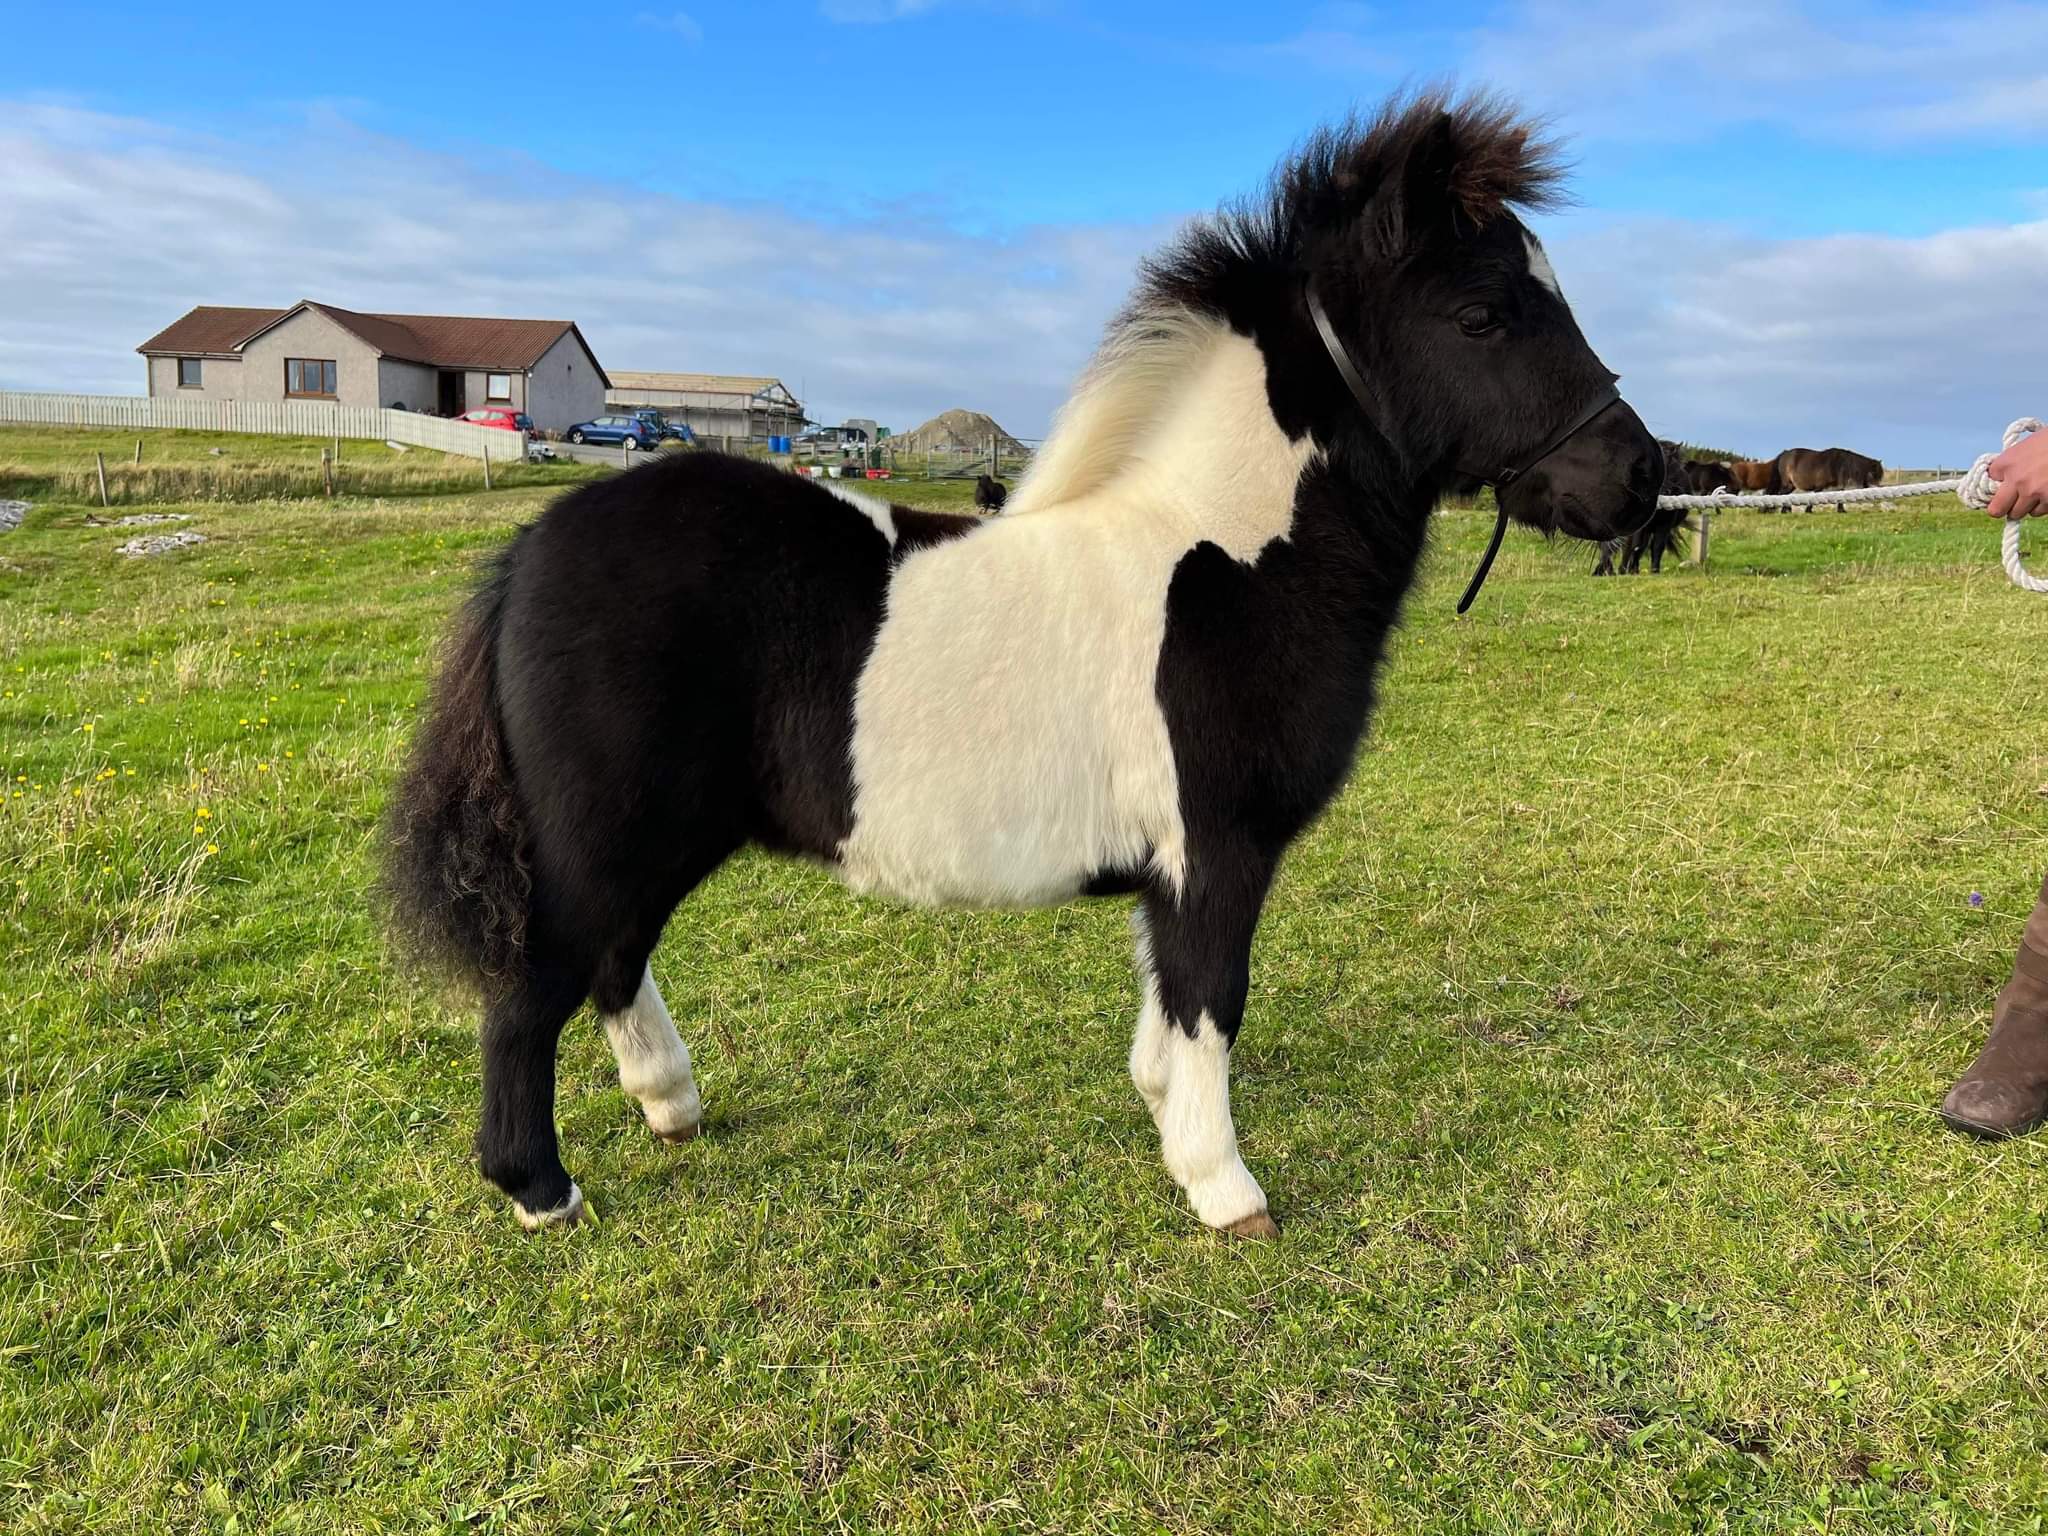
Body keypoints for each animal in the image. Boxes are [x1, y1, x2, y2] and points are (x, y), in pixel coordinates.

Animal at [383, 91, 1661, 1239]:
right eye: (1482, 315)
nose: (1638, 477)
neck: (1224, 557)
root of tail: (534, 548)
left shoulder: (1169, 861)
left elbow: (1166, 1002)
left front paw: (1161, 1116)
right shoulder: (1218, 848)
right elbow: (1214, 999)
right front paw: (1222, 1188)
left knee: (610, 959)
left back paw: (671, 1107)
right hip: (607, 832)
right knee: (533, 988)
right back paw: (541, 1189)